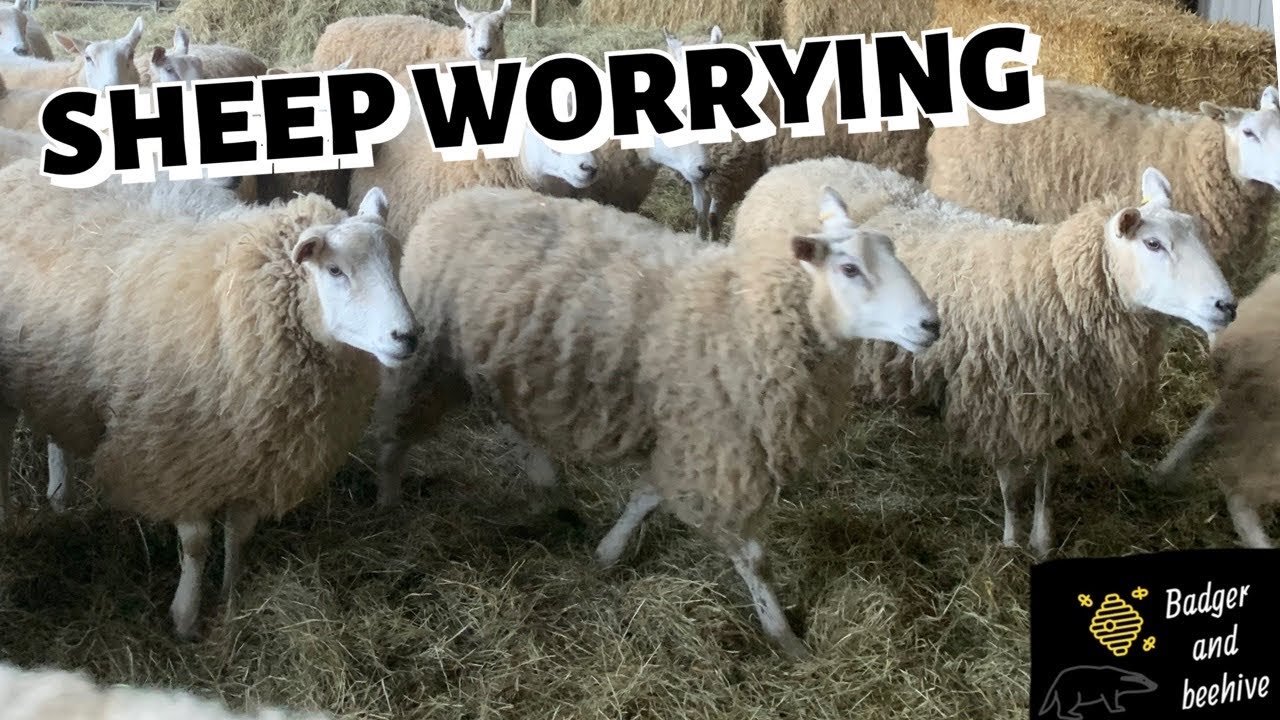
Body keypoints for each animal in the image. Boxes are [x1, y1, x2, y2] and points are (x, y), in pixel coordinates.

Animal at [0, 157, 420, 638]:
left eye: (395, 261)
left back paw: (58, 495)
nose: (408, 337)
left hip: (57, 374)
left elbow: (239, 532)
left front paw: (232, 592)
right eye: (335, 271)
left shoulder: (259, 455)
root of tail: (24, 166)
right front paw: (185, 616)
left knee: (57, 432)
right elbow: (196, 543)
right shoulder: (180, 454)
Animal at [370, 183, 939, 658]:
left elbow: (647, 495)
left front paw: (608, 550)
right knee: (399, 432)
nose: (931, 324)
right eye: (850, 270)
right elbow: (752, 555)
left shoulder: (691, 435)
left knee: (511, 422)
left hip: (501, 367)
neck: (747, 311)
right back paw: (389, 502)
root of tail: (452, 201)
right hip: (432, 360)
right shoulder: (717, 445)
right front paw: (785, 637)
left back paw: (547, 481)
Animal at [732, 157, 1236, 558]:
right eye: (1154, 245)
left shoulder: (1054, 405)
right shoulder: (1001, 405)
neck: (1057, 288)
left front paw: (1042, 540)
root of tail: (780, 172)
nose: (1226, 305)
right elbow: (1012, 487)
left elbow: (1047, 482)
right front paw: (1011, 544)